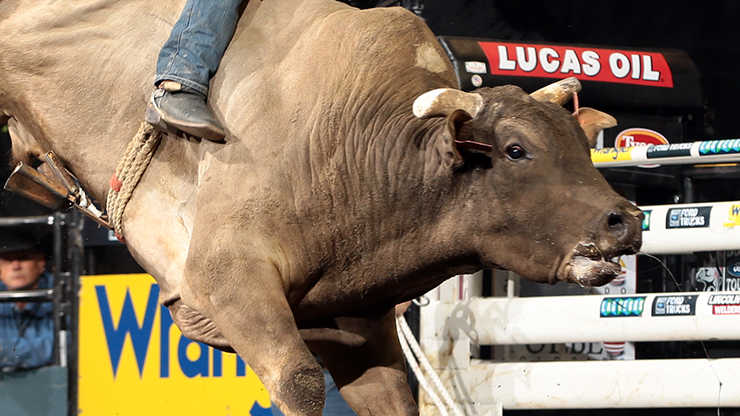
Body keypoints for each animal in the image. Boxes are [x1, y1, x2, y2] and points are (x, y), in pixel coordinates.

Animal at [0, 0, 642, 414]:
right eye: (515, 149)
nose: (625, 219)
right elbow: (301, 383)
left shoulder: (356, 319)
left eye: (581, 146)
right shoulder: (229, 278)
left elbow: (392, 398)